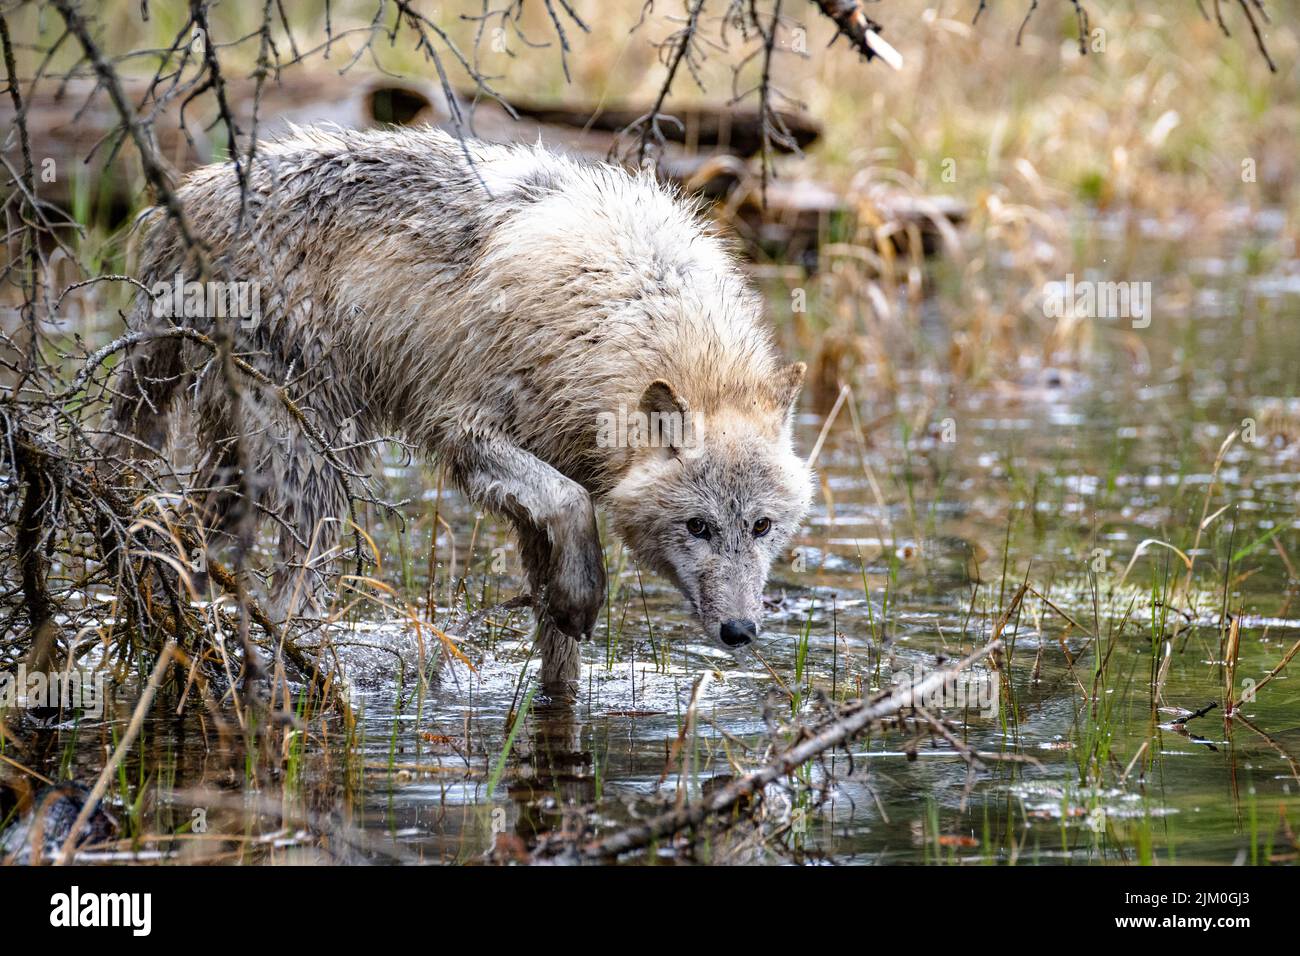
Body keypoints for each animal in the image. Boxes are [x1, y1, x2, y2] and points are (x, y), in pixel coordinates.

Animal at [107, 125, 813, 690]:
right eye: (698, 527)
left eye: (761, 527)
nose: (741, 631)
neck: (617, 314)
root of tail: (184, 203)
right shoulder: (468, 435)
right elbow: (572, 506)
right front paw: (585, 599)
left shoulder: (536, 496)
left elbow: (558, 651)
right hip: (320, 472)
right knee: (282, 604)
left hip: (241, 471)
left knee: (177, 533)